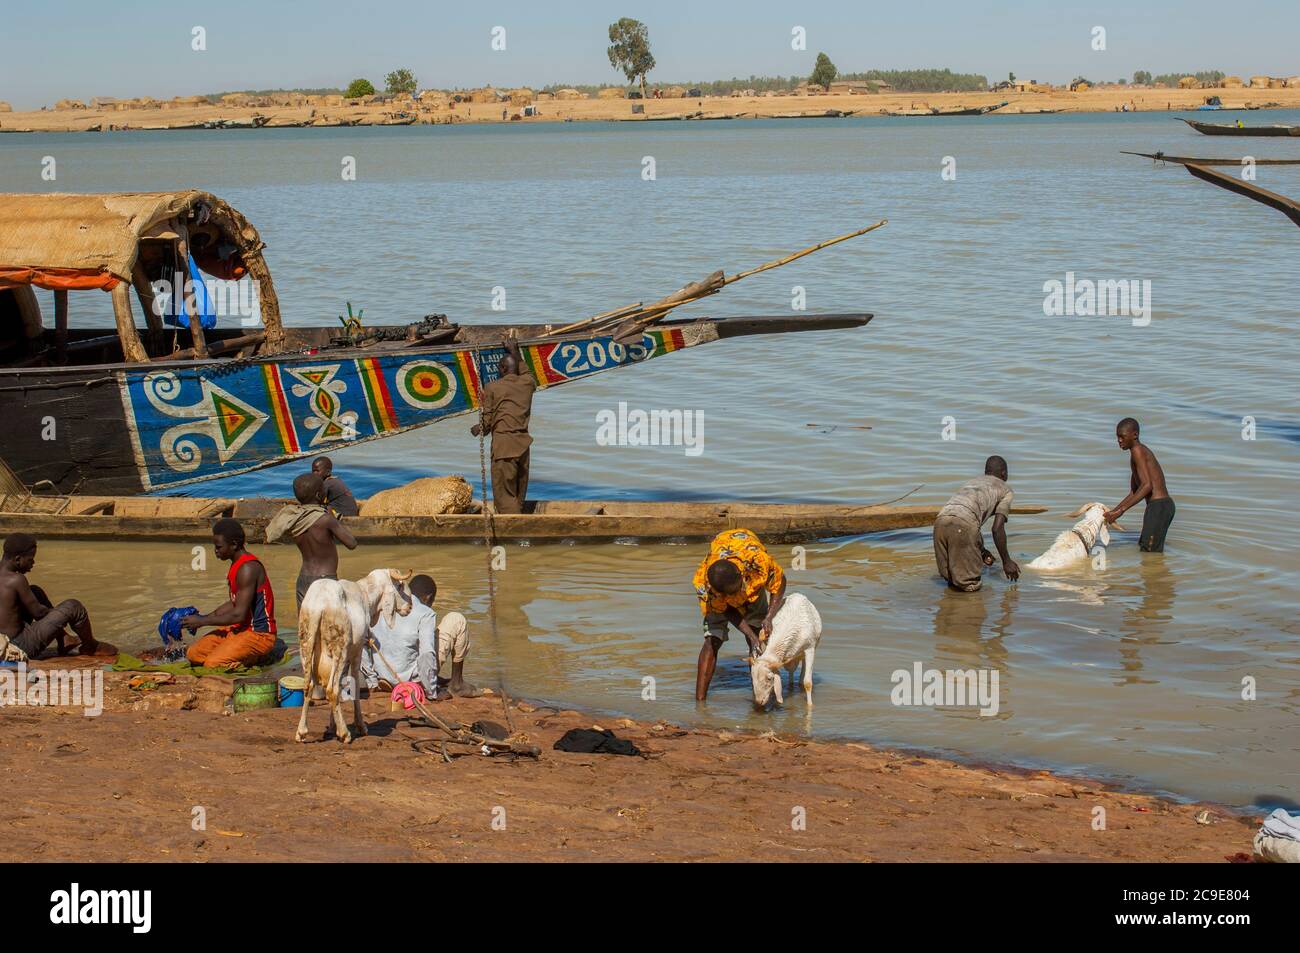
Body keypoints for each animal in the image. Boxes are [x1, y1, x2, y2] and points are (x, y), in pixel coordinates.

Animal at [295, 568, 413, 743]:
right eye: (399, 585)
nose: (410, 607)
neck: (366, 595)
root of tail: (319, 605)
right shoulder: (357, 651)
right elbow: (355, 684)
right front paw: (360, 726)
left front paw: (332, 727)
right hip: (339, 648)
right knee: (331, 690)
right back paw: (345, 734)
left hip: (306, 644)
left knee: (308, 686)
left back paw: (302, 732)